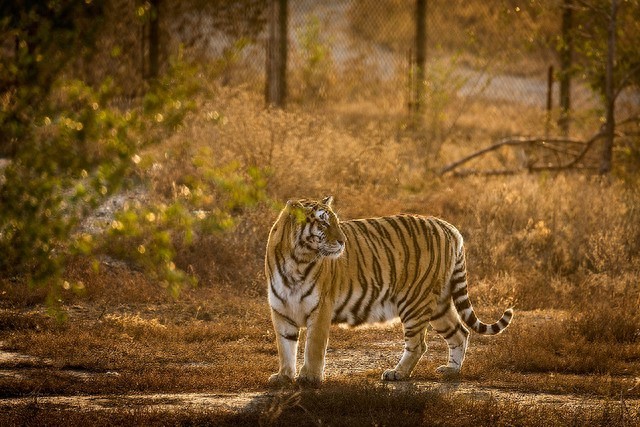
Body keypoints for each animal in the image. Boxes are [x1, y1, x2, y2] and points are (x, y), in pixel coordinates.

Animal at [264, 197, 510, 388]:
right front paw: (284, 377)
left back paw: (397, 373)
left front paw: (309, 378)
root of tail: (449, 227)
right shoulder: (281, 310)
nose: (343, 242)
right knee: (460, 332)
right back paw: (451, 371)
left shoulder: (321, 308)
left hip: (415, 301)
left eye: (335, 222)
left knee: (418, 344)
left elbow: (313, 347)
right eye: (323, 223)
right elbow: (285, 347)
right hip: (439, 303)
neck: (296, 261)